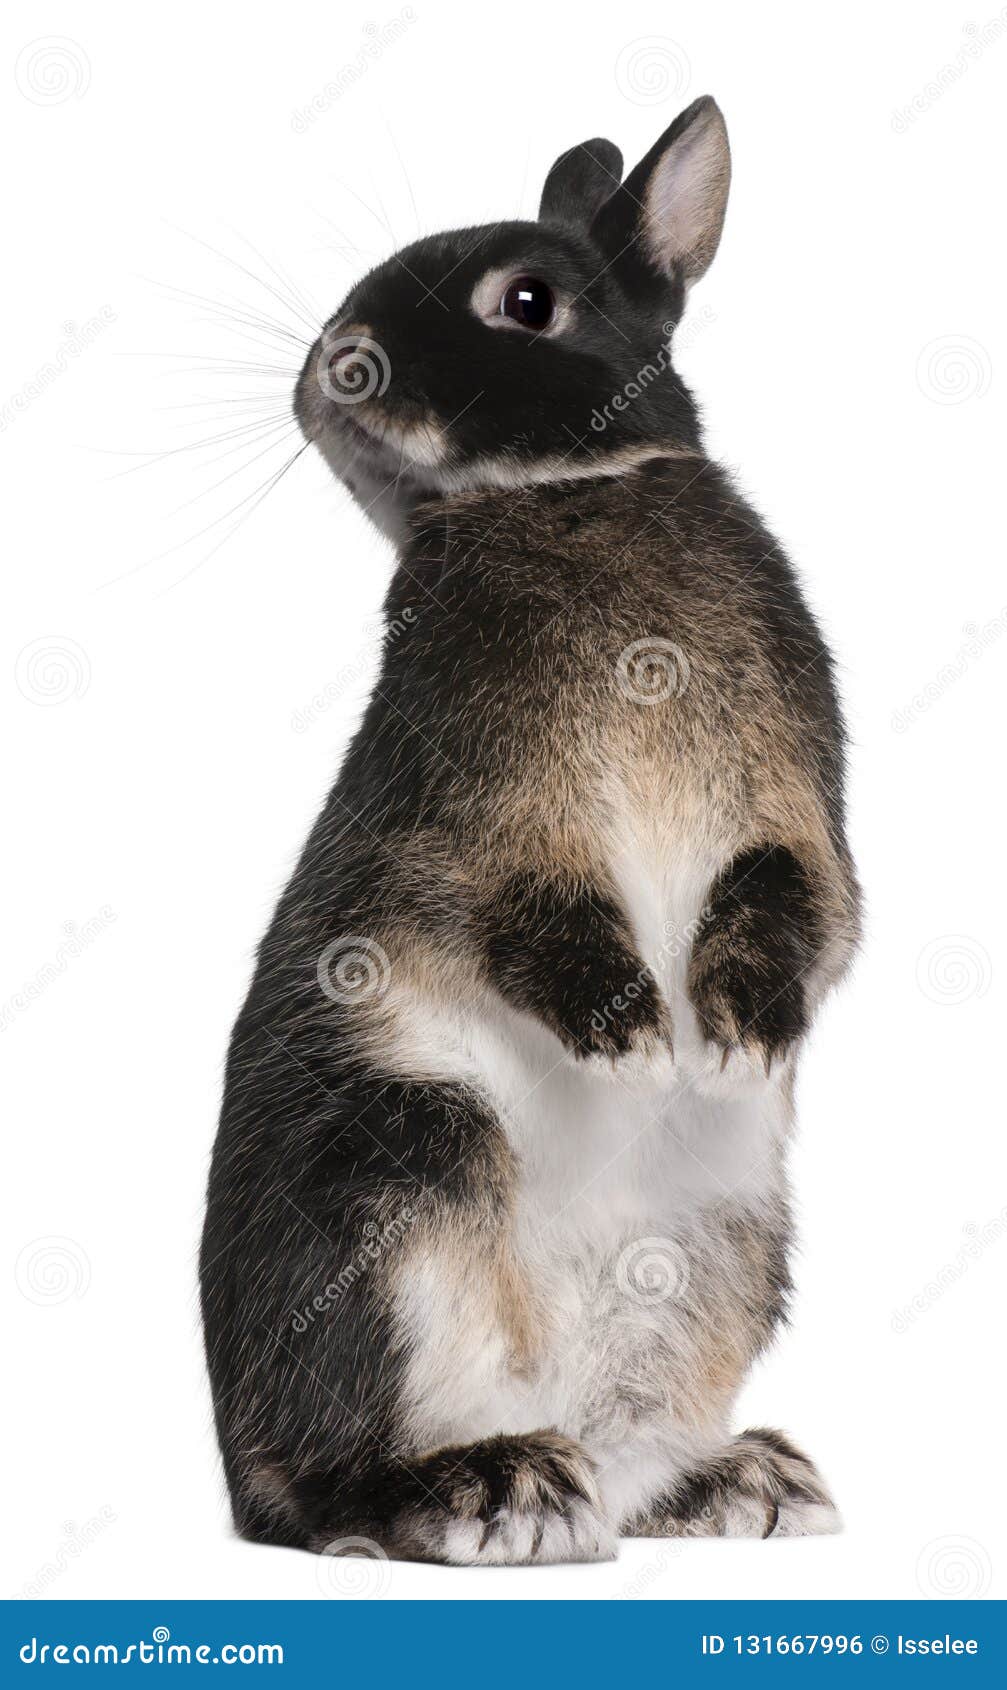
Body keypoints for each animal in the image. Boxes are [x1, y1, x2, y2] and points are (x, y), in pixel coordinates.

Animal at [200, 94, 861, 1565]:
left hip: (722, 1246)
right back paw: (486, 1487)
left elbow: (803, 903)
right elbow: (521, 908)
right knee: (326, 1488)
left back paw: (742, 1484)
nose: (337, 362)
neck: (560, 490)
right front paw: (629, 1038)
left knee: (626, 1451)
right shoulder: (482, 825)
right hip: (397, 1173)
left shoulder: (796, 811)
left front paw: (731, 1039)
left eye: (526, 301)